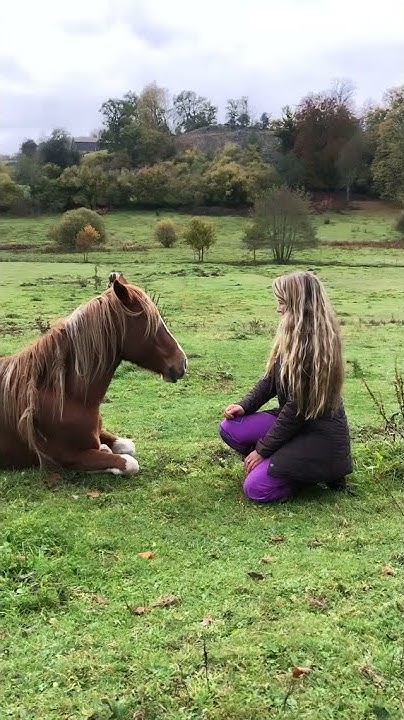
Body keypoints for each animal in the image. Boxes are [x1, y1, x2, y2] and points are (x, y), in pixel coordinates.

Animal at [0, 273, 187, 474]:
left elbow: (128, 446)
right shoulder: (64, 457)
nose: (182, 363)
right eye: (151, 322)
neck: (66, 395)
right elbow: (129, 463)